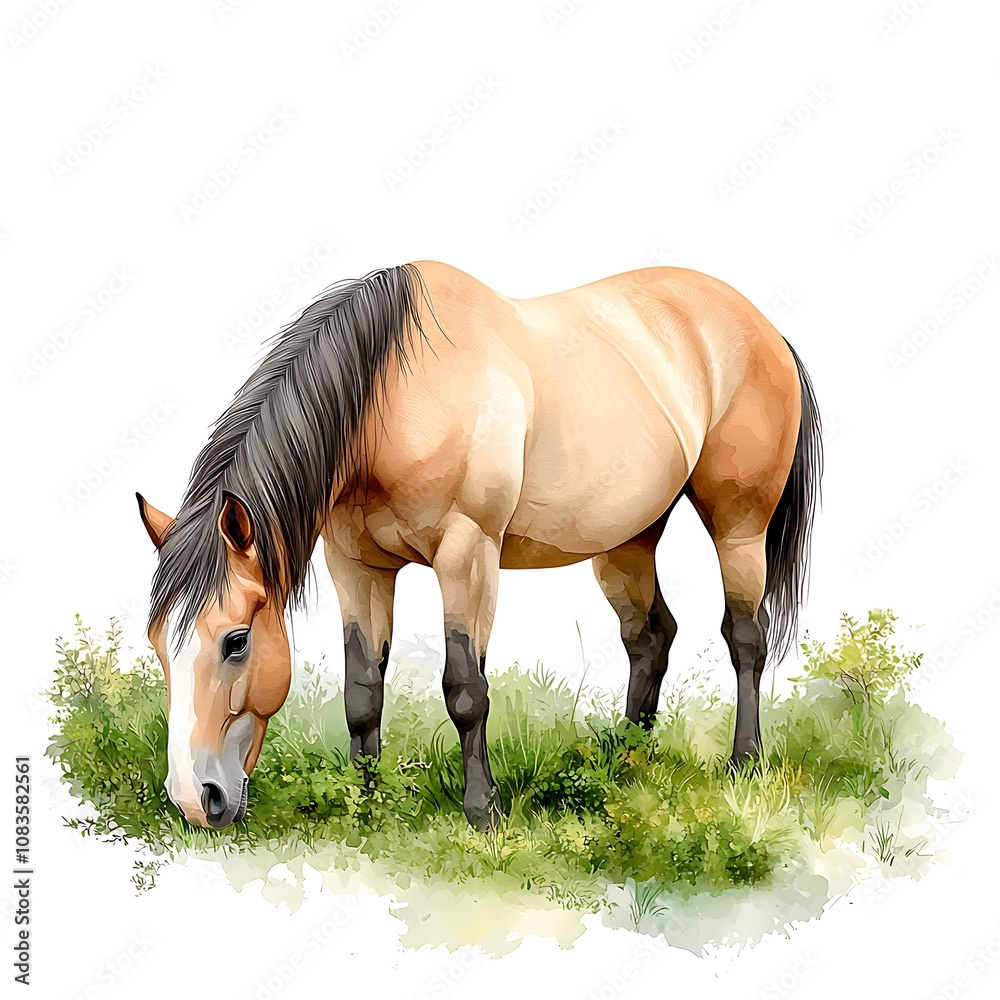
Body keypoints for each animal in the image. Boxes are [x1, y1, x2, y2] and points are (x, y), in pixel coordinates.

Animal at [137, 260, 822, 831]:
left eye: (236, 641)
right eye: (158, 645)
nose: (195, 800)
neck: (391, 401)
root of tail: (763, 326)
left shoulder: (467, 555)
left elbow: (465, 688)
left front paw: (482, 811)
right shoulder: (355, 565)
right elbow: (362, 691)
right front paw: (366, 801)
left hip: (739, 528)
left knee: (745, 638)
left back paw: (744, 762)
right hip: (627, 539)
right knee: (650, 636)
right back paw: (625, 763)